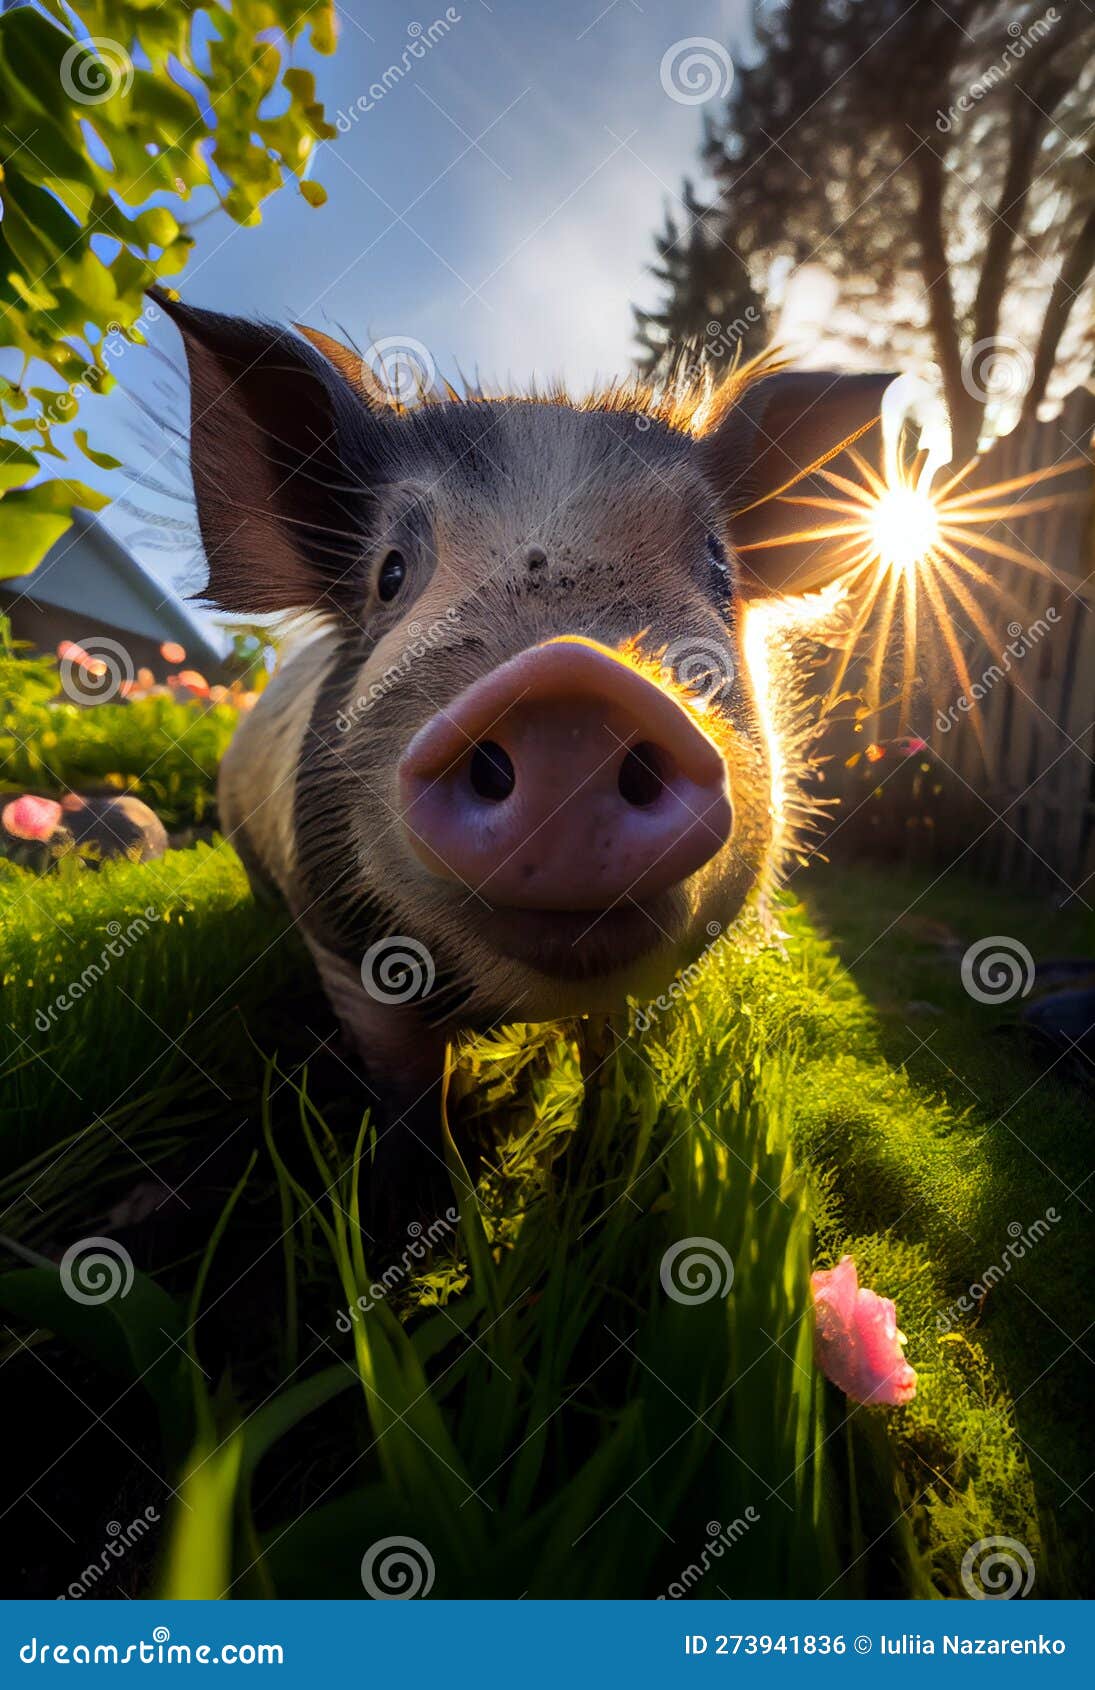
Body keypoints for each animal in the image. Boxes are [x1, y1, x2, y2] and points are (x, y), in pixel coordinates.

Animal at [158, 295, 888, 1164]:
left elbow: (613, 1071)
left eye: (719, 566)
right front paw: (429, 1175)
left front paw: (595, 1163)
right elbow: (410, 1096)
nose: (567, 683)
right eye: (390, 574)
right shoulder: (341, 946)